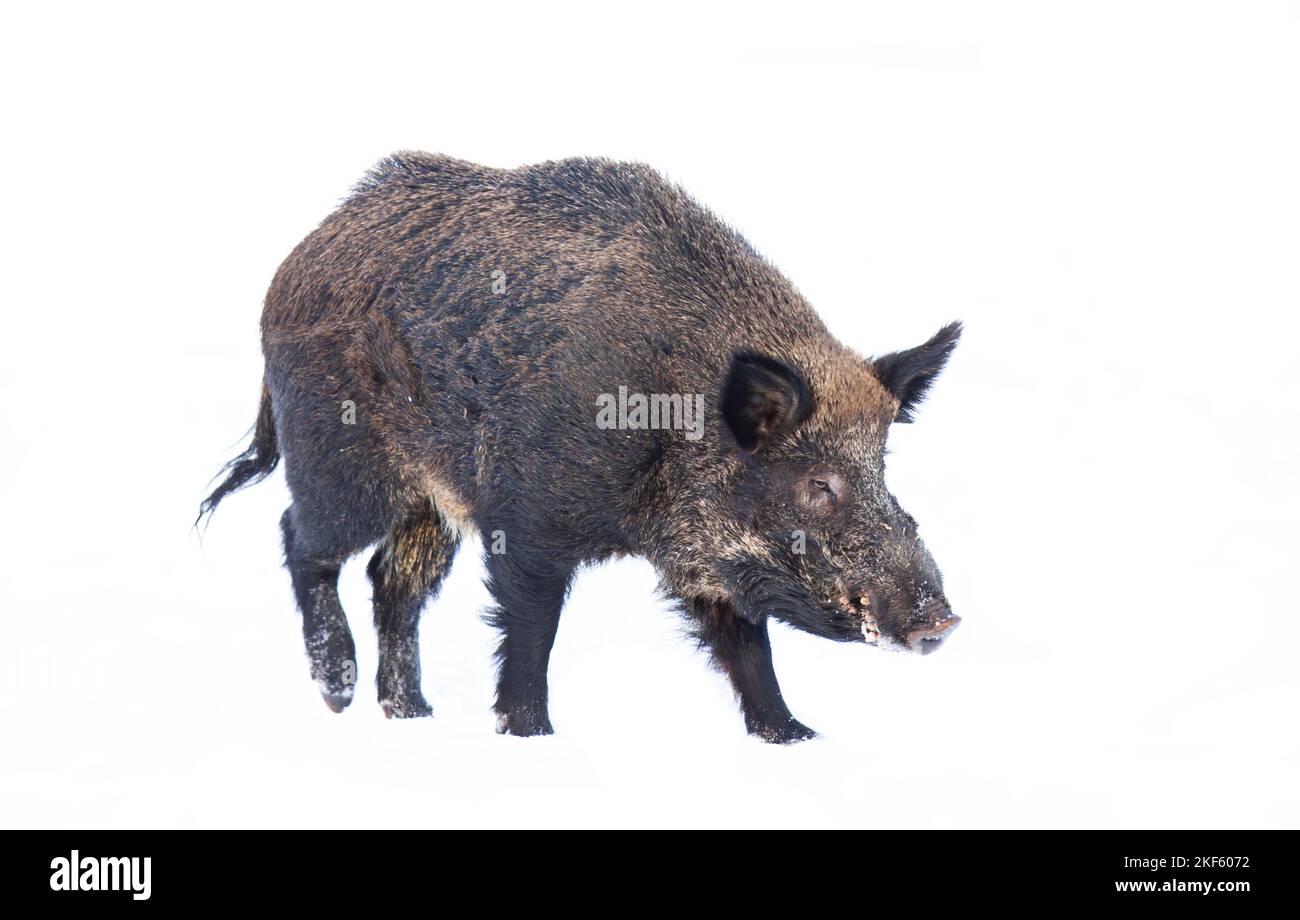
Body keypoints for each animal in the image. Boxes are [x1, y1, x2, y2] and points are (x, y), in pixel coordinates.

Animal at [200, 153, 961, 743]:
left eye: (882, 467)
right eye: (818, 482)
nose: (943, 621)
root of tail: (300, 255)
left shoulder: (703, 564)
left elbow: (749, 650)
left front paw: (795, 737)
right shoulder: (529, 522)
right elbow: (532, 630)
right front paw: (529, 734)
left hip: (431, 502)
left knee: (393, 581)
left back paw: (413, 715)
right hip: (341, 461)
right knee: (302, 538)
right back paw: (339, 693)